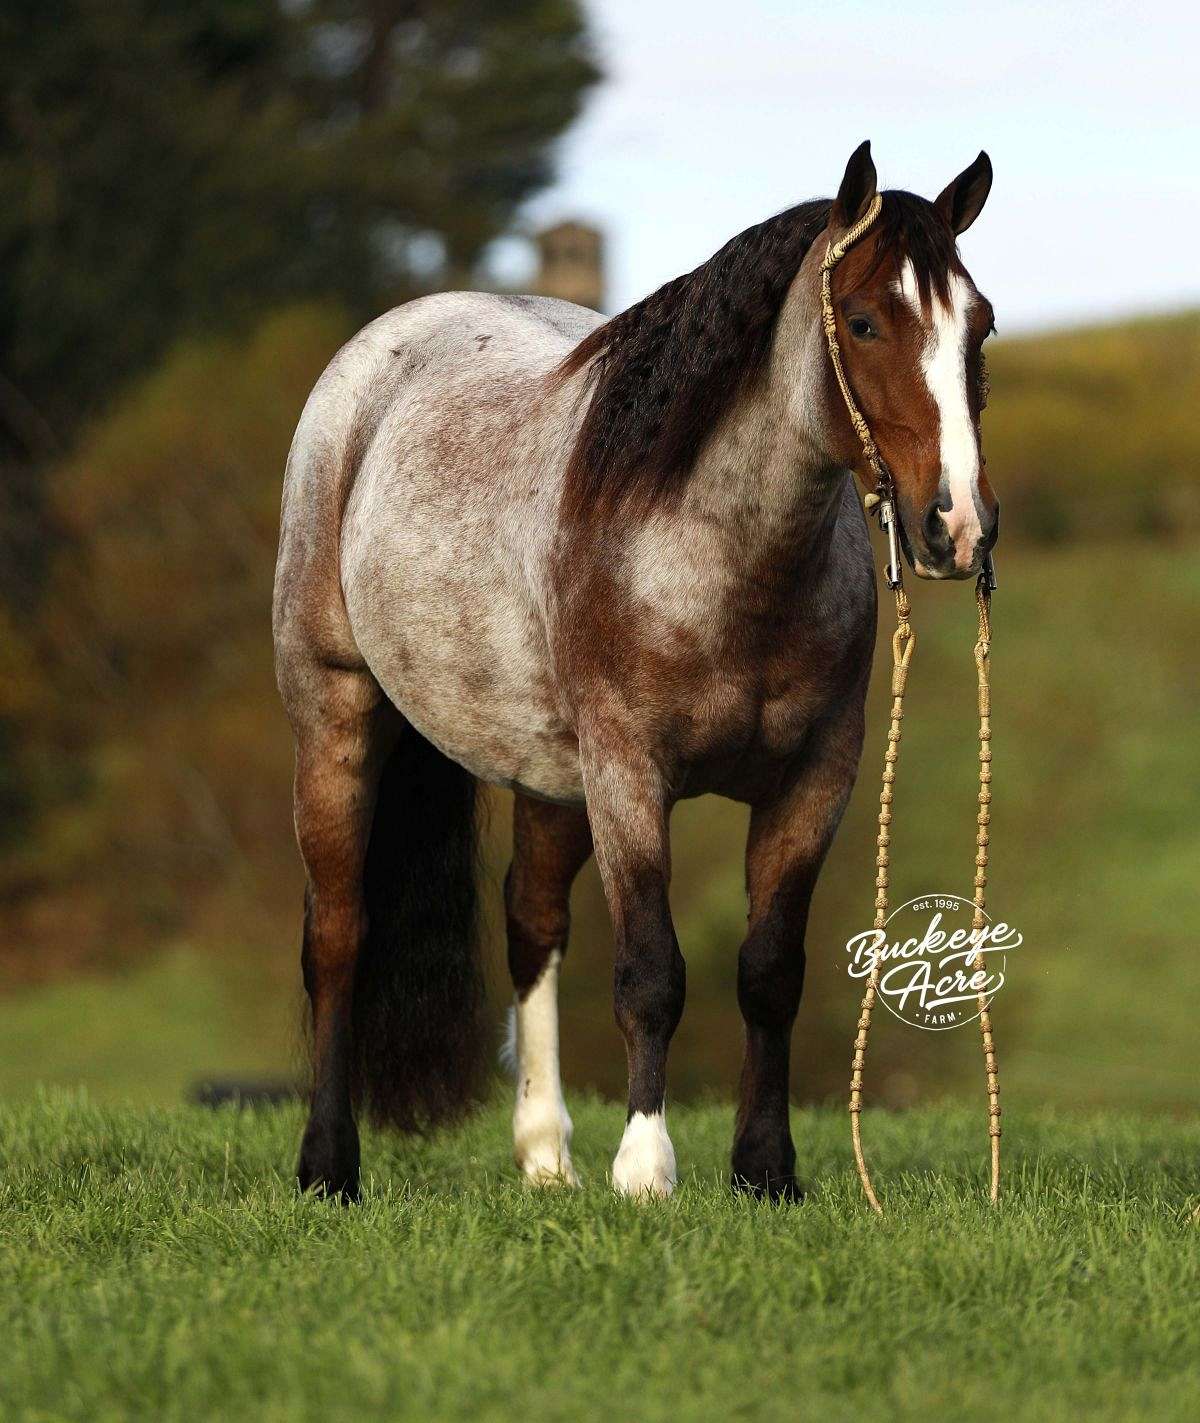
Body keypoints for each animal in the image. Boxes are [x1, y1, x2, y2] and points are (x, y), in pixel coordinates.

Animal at [272, 140, 999, 1202]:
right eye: (865, 321)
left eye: (979, 325)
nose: (958, 526)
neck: (713, 550)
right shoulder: (629, 775)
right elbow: (652, 972)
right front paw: (646, 1169)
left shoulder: (815, 780)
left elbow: (769, 971)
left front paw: (766, 1171)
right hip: (337, 714)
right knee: (337, 933)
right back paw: (329, 1165)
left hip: (549, 777)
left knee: (530, 923)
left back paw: (544, 1158)